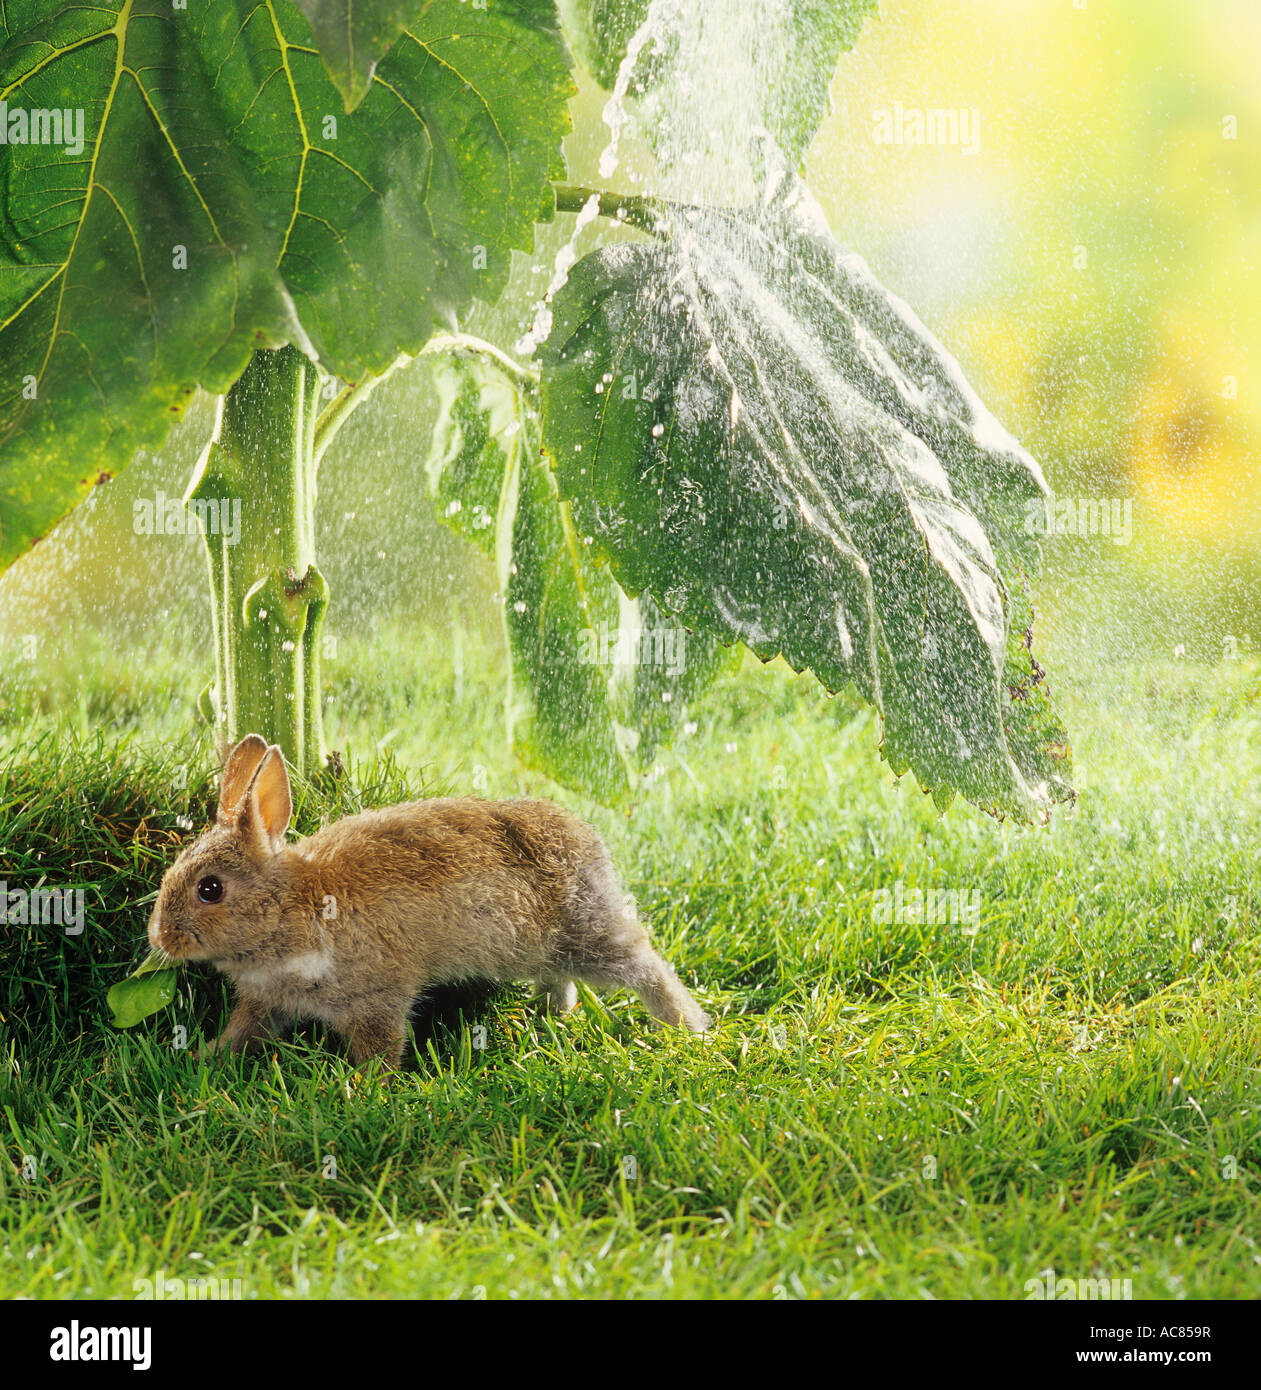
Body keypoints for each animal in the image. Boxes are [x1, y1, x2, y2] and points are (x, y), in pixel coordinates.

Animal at [147, 734, 711, 1067]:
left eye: (210, 889)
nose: (160, 938)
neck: (291, 908)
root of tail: (588, 840)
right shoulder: (265, 1002)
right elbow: (244, 1032)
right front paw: (205, 1056)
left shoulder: (376, 996)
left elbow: (381, 1045)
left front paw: (365, 1092)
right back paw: (549, 1013)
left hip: (586, 933)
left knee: (644, 963)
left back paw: (689, 1026)